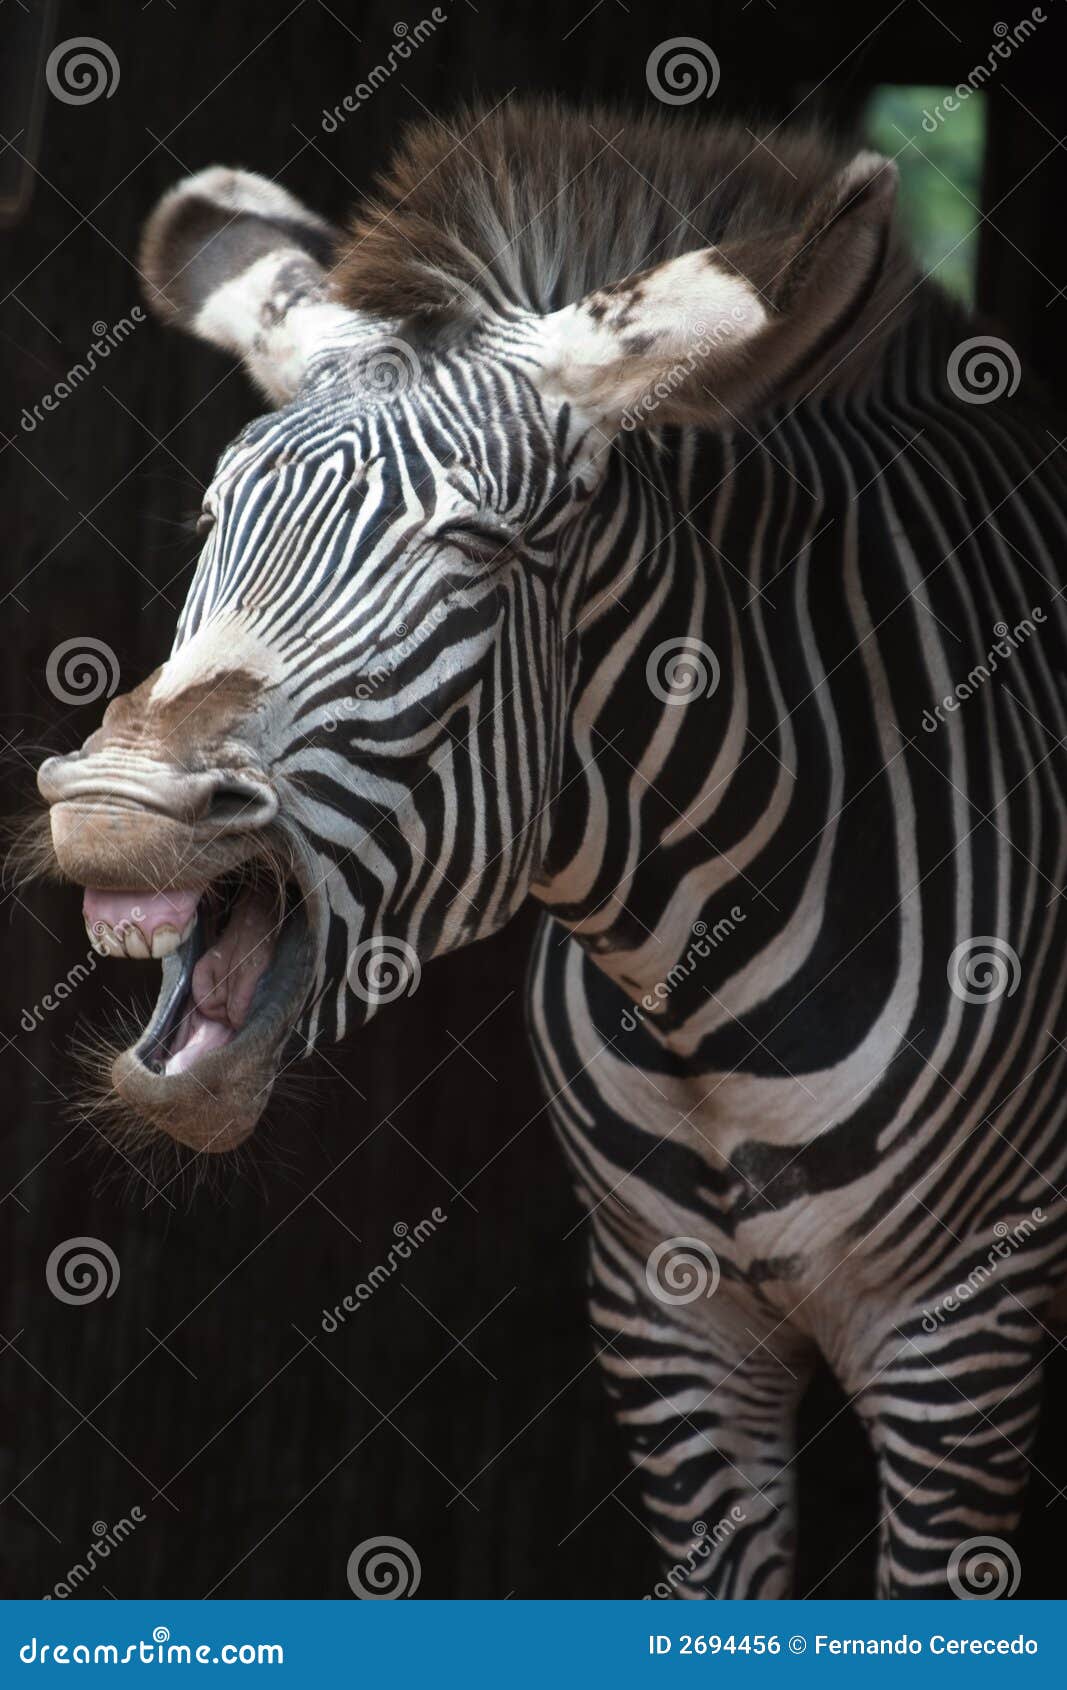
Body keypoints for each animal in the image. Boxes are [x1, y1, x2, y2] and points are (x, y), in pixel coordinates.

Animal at [32, 100, 1067, 1598]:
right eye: (216, 517)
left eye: (473, 547)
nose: (111, 803)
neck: (704, 998)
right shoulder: (663, 1324)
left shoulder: (961, 1329)